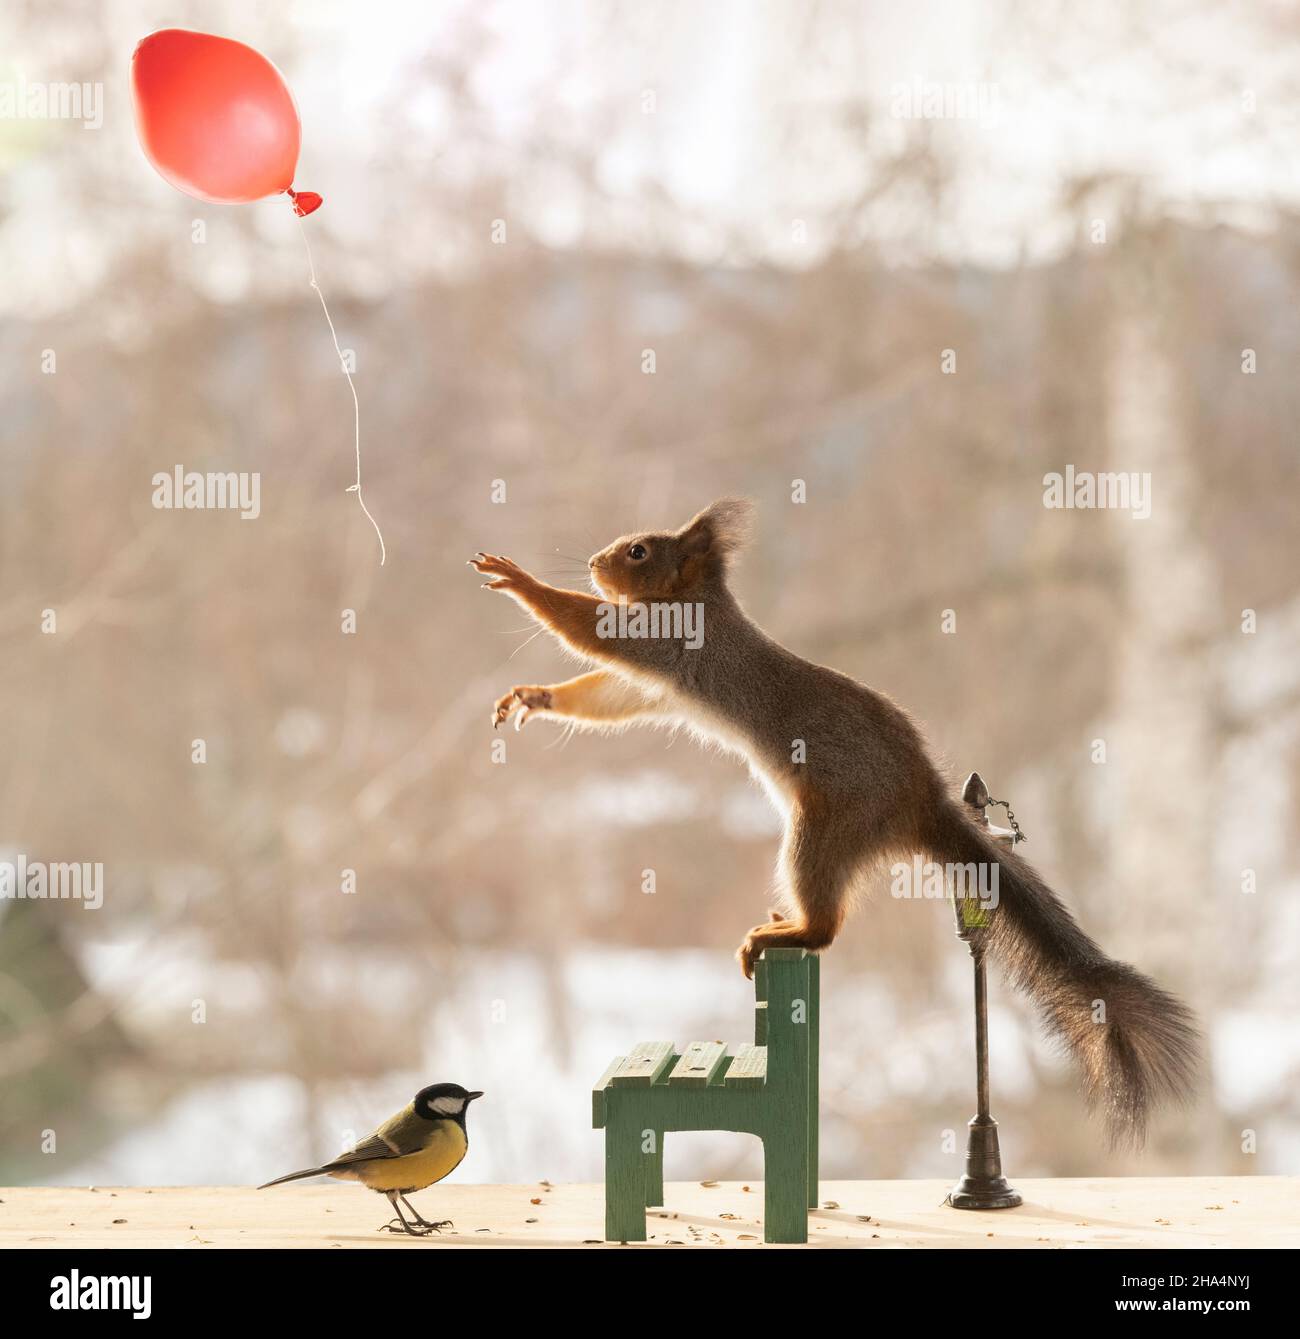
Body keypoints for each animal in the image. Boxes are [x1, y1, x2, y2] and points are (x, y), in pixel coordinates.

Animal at [470, 497, 1198, 1145]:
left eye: (640, 551)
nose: (595, 562)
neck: (698, 597)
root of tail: (920, 798)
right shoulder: (652, 686)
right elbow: (609, 697)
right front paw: (533, 696)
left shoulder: (669, 642)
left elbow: (587, 628)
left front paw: (518, 578)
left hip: (822, 827)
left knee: (826, 925)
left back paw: (788, 930)